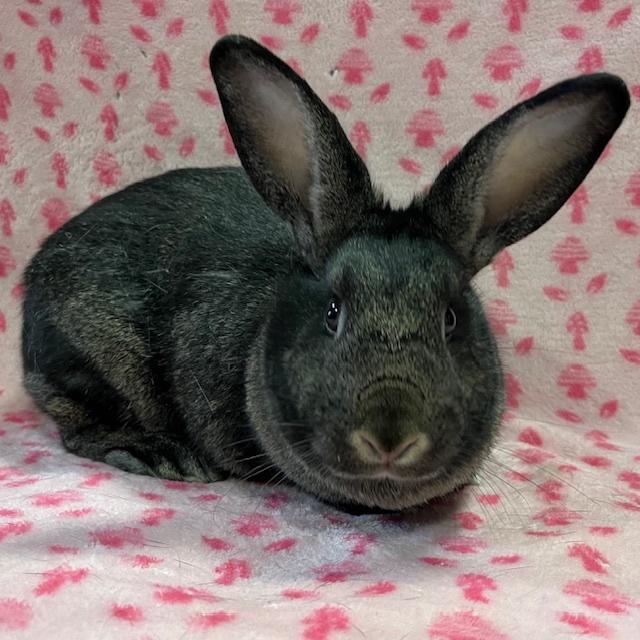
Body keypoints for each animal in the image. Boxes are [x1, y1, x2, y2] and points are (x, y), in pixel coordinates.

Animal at [21, 34, 630, 514]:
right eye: (333, 314)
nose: (389, 438)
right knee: (78, 428)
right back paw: (160, 453)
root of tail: (34, 276)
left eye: (451, 319)